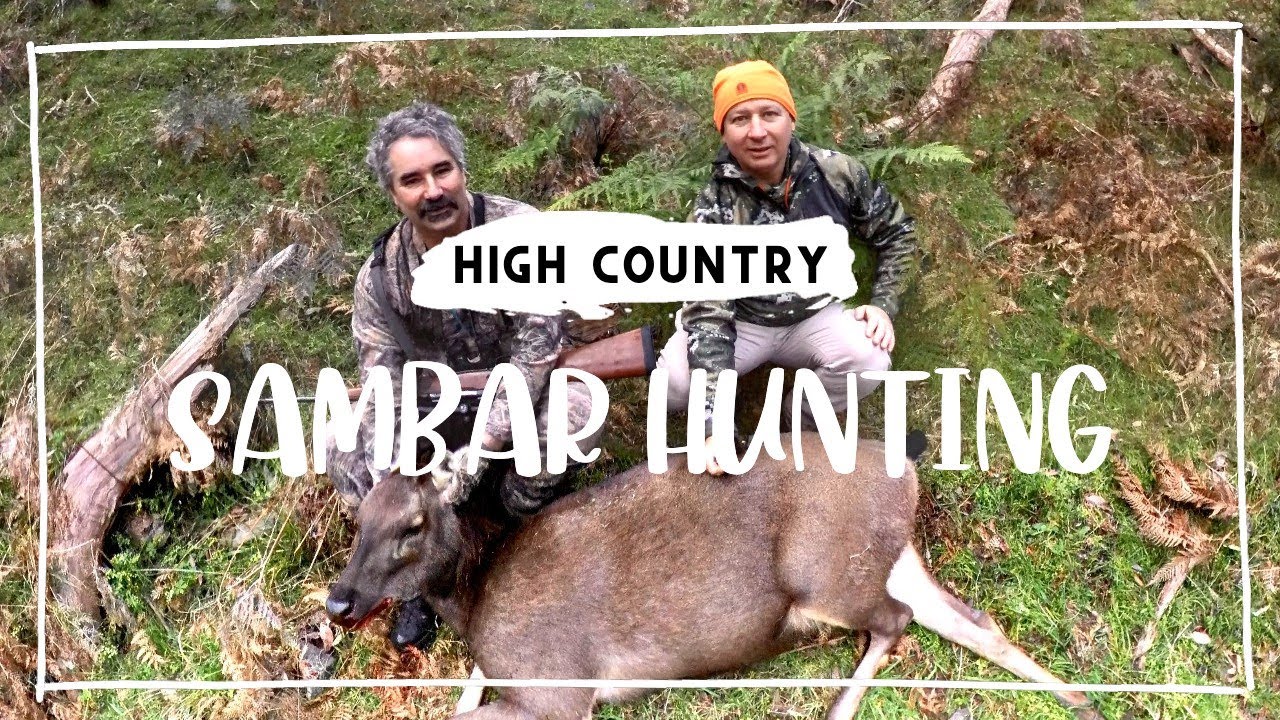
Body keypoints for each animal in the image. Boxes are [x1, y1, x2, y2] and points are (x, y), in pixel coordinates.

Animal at [326, 432, 1103, 719]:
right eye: (357, 517)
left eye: (413, 524)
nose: (339, 601)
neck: (477, 598)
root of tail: (910, 475)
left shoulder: (557, 688)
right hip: (889, 557)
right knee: (970, 619)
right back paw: (1084, 699)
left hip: (826, 570)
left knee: (897, 623)